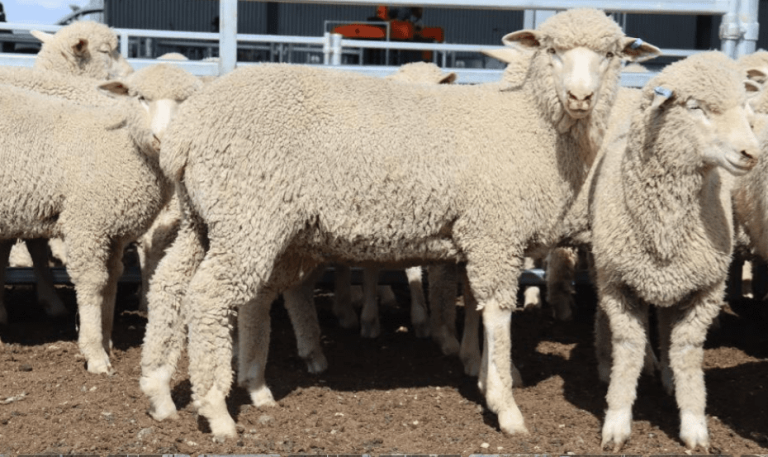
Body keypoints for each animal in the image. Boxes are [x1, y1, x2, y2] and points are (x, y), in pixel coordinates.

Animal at [0, 64, 202, 374]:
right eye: (140, 97)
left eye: (185, 101)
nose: (163, 139)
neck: (119, 147)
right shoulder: (87, 223)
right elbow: (93, 282)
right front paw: (94, 354)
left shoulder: (113, 230)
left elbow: (112, 280)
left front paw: (107, 343)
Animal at [138, 8, 661, 440]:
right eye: (551, 50)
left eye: (611, 54)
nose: (580, 96)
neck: (532, 124)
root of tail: (188, 129)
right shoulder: (495, 231)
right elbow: (497, 313)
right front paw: (505, 405)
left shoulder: (482, 237)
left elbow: (478, 306)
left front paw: (483, 374)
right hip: (248, 215)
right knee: (209, 297)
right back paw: (216, 410)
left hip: (208, 219)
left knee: (175, 285)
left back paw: (173, 388)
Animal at [587, 51, 759, 451]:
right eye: (696, 107)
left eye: (745, 107)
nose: (751, 153)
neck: (665, 226)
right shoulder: (619, 287)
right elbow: (629, 350)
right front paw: (616, 421)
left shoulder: (705, 292)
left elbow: (686, 354)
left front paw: (694, 424)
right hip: (604, 269)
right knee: (607, 319)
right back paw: (606, 363)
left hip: (676, 283)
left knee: (665, 325)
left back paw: (666, 376)